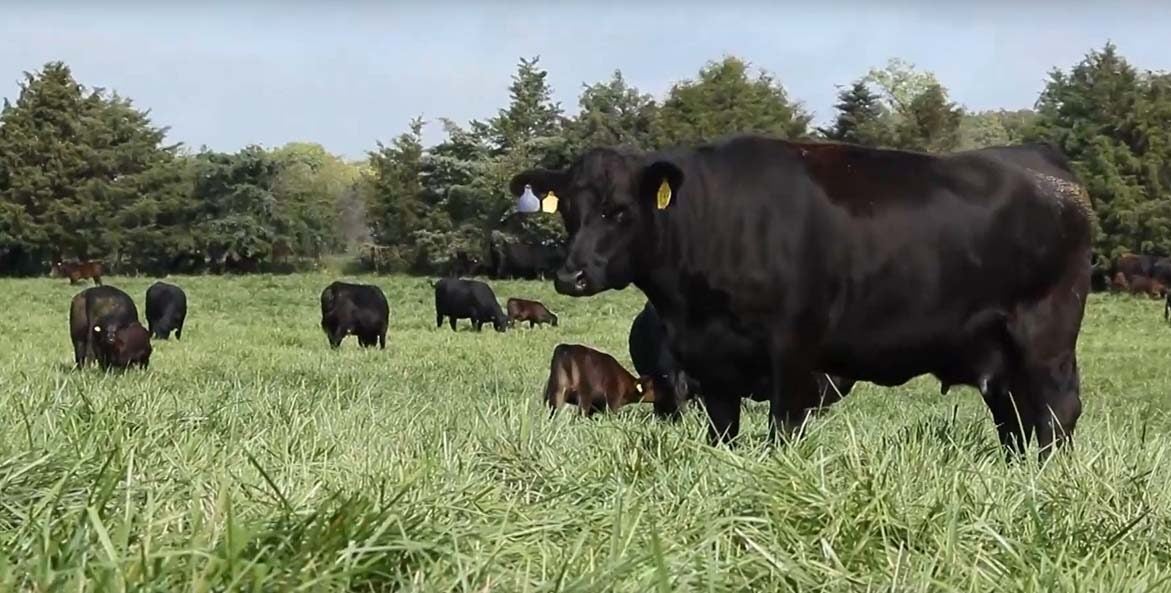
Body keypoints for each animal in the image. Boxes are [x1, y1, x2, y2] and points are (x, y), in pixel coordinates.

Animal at [511, 136, 1092, 461]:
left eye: (618, 210)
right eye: (569, 211)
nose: (571, 275)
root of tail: (1043, 161)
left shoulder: (793, 353)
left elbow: (783, 429)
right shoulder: (710, 362)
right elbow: (722, 431)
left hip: (1046, 341)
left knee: (1056, 413)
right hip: (998, 357)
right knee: (1016, 420)